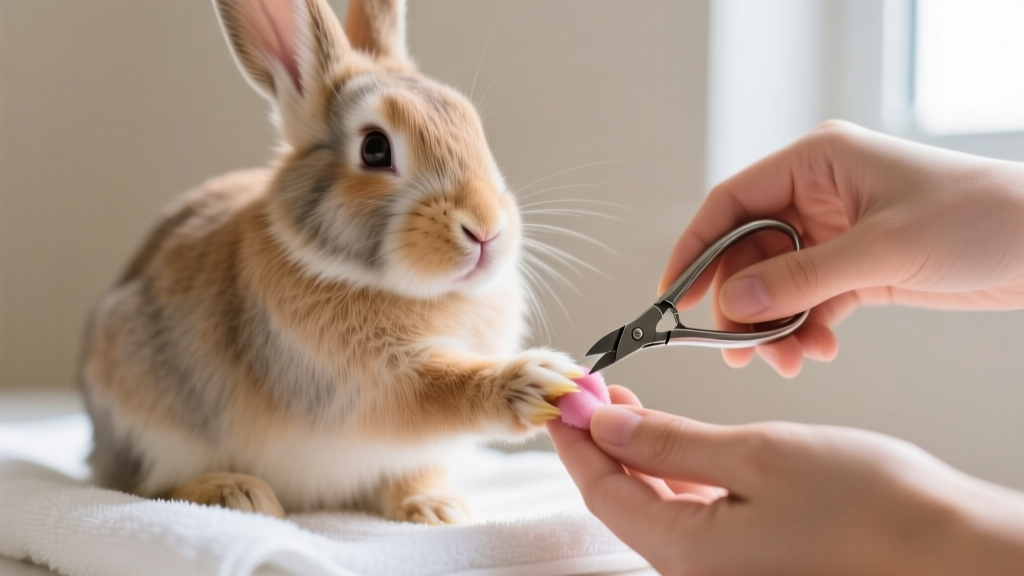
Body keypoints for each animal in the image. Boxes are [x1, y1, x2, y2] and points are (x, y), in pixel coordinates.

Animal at [77, 0, 583, 525]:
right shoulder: (371, 386)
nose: (485, 228)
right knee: (149, 484)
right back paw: (238, 494)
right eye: (375, 148)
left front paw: (437, 508)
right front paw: (535, 384)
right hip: (149, 415)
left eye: (473, 127)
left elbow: (411, 467)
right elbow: (438, 391)